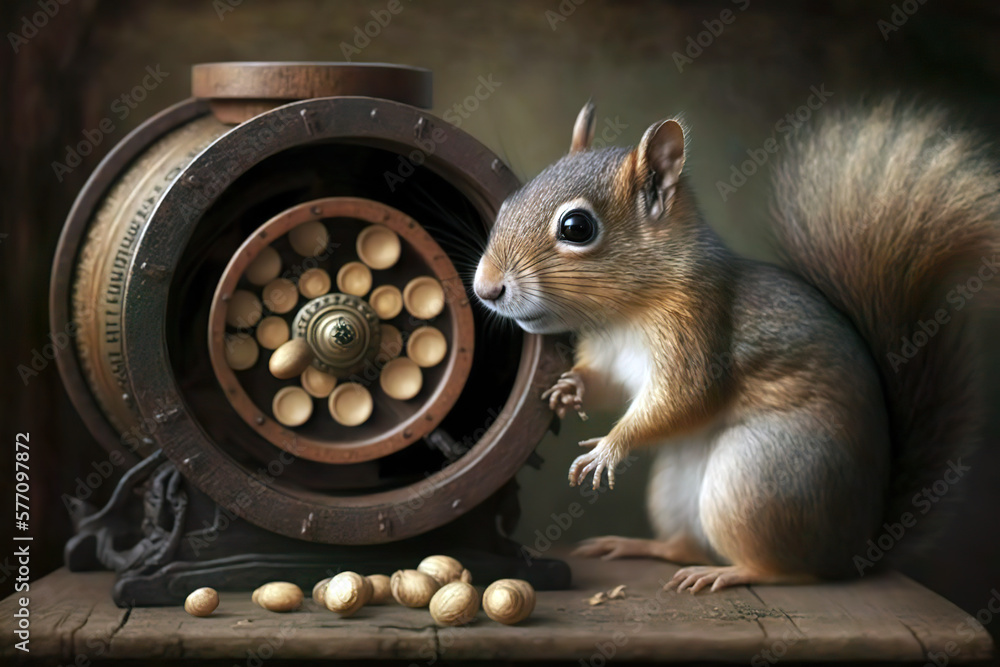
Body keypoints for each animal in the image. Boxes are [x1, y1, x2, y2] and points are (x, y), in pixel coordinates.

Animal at [473, 99, 1000, 592]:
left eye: (576, 227)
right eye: (509, 202)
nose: (485, 289)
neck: (625, 312)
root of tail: (857, 547)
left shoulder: (700, 328)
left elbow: (686, 398)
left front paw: (608, 447)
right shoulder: (607, 353)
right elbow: (606, 385)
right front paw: (569, 389)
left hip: (757, 475)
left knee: (793, 571)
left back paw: (730, 572)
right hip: (675, 486)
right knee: (683, 542)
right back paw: (637, 545)